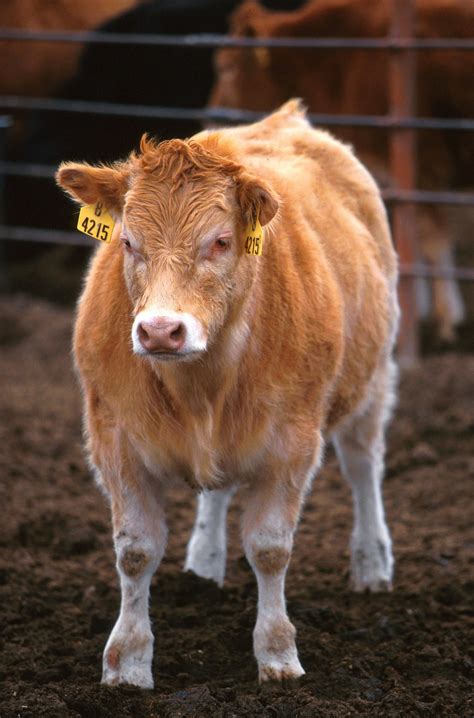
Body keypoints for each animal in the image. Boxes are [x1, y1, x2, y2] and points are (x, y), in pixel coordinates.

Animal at [56, 100, 399, 687]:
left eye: (220, 240)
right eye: (127, 241)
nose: (161, 331)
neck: (202, 385)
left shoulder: (294, 440)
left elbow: (270, 548)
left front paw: (278, 654)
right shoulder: (112, 435)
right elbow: (135, 552)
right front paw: (128, 663)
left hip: (372, 379)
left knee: (363, 467)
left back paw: (373, 564)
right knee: (215, 491)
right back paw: (203, 563)